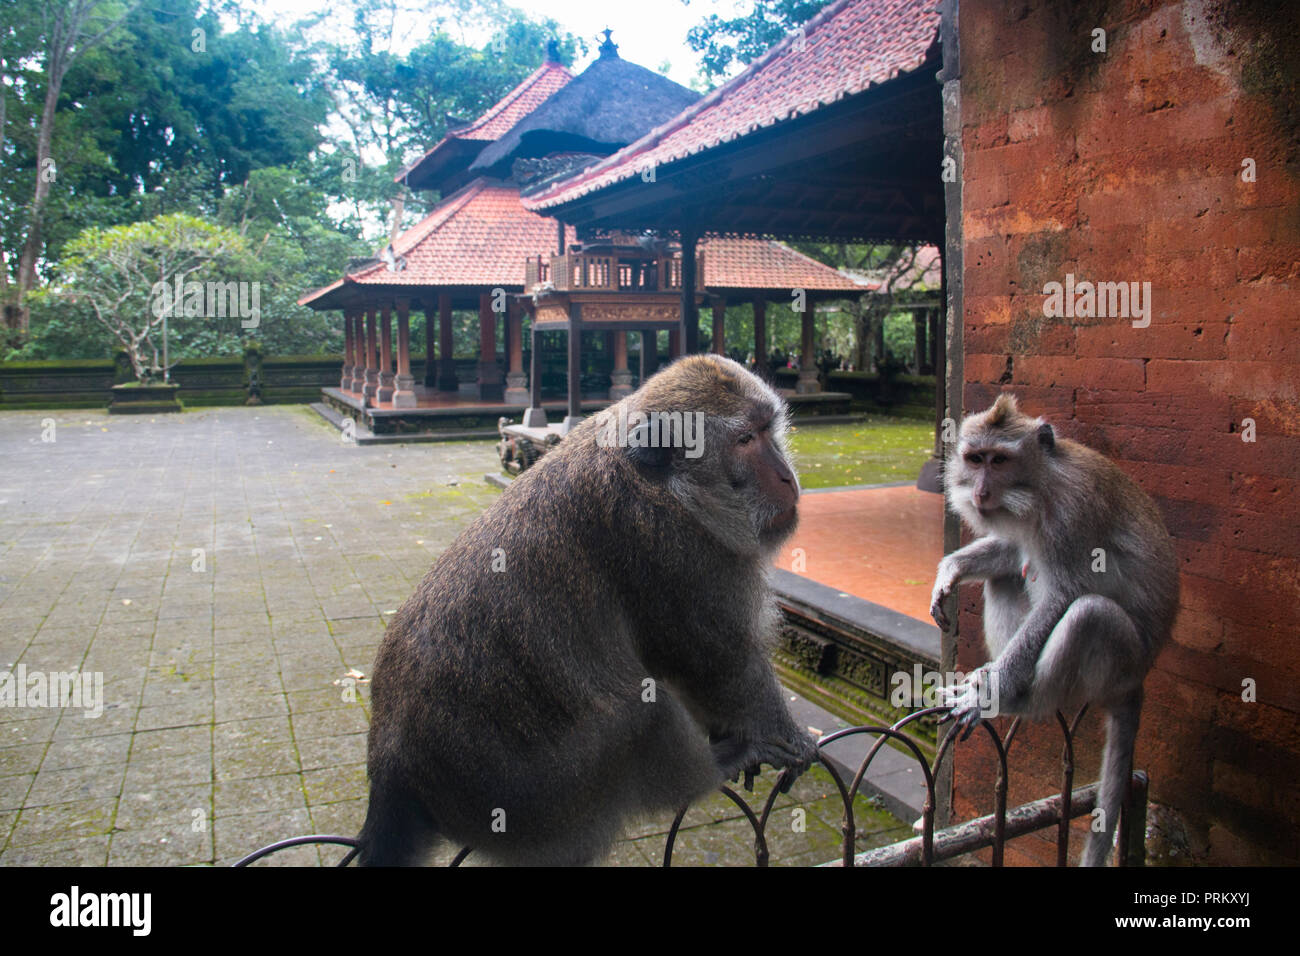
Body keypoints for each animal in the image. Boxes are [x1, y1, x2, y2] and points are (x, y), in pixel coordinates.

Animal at [357, 354, 817, 866]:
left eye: (768, 429)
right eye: (745, 440)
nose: (786, 476)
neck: (666, 485)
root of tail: (390, 769)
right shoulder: (680, 547)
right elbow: (718, 661)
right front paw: (784, 734)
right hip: (542, 794)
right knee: (639, 709)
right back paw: (710, 769)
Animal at [929, 393, 1179, 867]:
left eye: (999, 460)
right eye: (975, 458)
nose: (981, 492)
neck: (1040, 487)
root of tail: (1140, 677)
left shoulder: (1073, 514)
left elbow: (1063, 596)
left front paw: (988, 696)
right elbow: (1014, 552)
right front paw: (949, 571)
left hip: (1120, 662)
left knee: (1089, 614)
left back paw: (1018, 700)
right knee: (1006, 578)